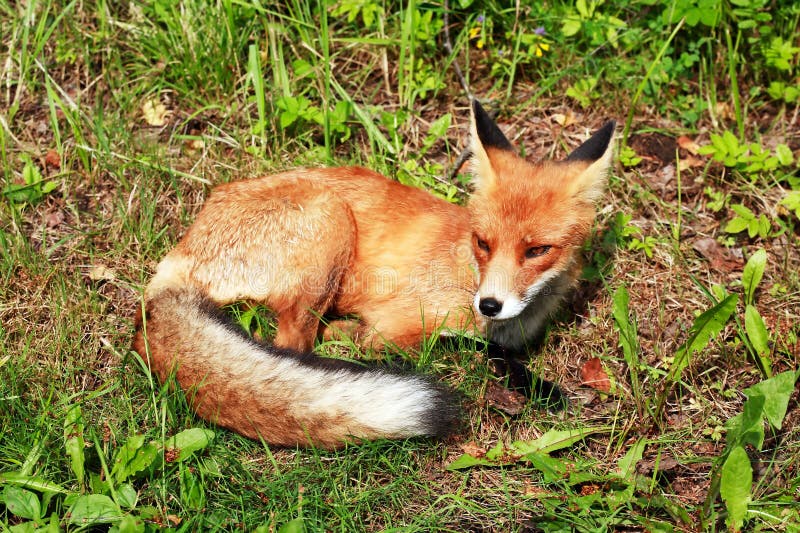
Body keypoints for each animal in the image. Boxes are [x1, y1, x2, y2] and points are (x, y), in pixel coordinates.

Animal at [133, 100, 615, 448]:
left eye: (537, 251)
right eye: (483, 242)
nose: (489, 304)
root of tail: (179, 253)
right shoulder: (397, 323)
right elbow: (458, 345)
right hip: (331, 219)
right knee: (292, 346)